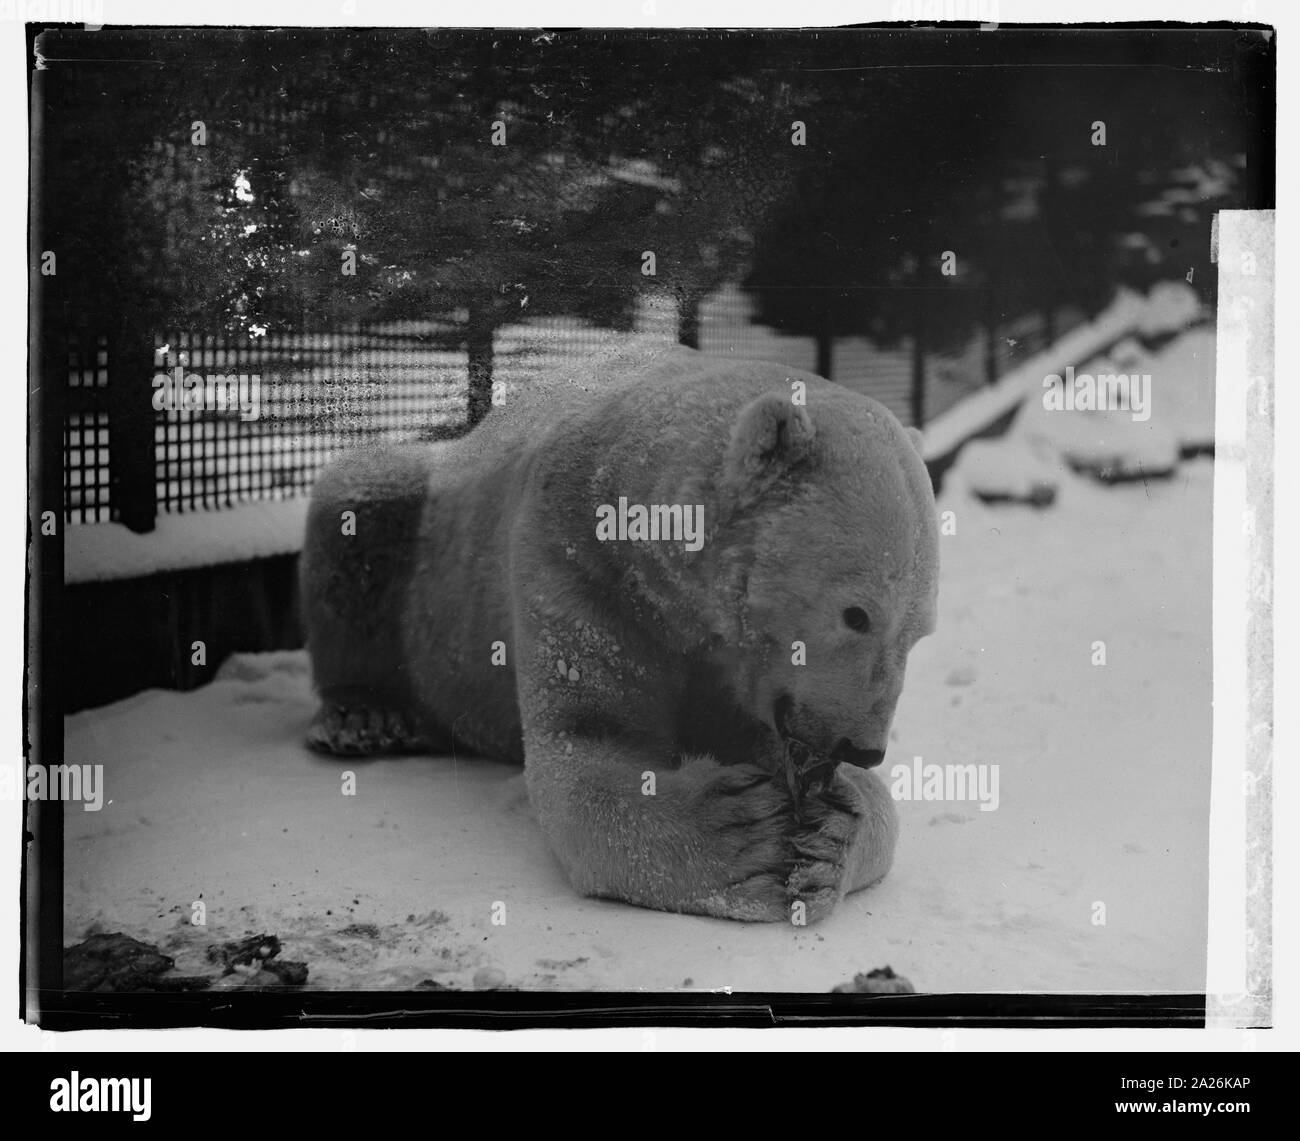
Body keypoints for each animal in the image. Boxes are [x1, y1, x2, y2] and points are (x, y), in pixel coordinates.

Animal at [300, 341, 938, 923]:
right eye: (857, 614)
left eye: (919, 633)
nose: (864, 746)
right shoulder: (576, 568)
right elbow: (588, 740)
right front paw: (745, 834)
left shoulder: (730, 666)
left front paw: (830, 835)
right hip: (426, 537)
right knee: (360, 501)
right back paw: (363, 715)